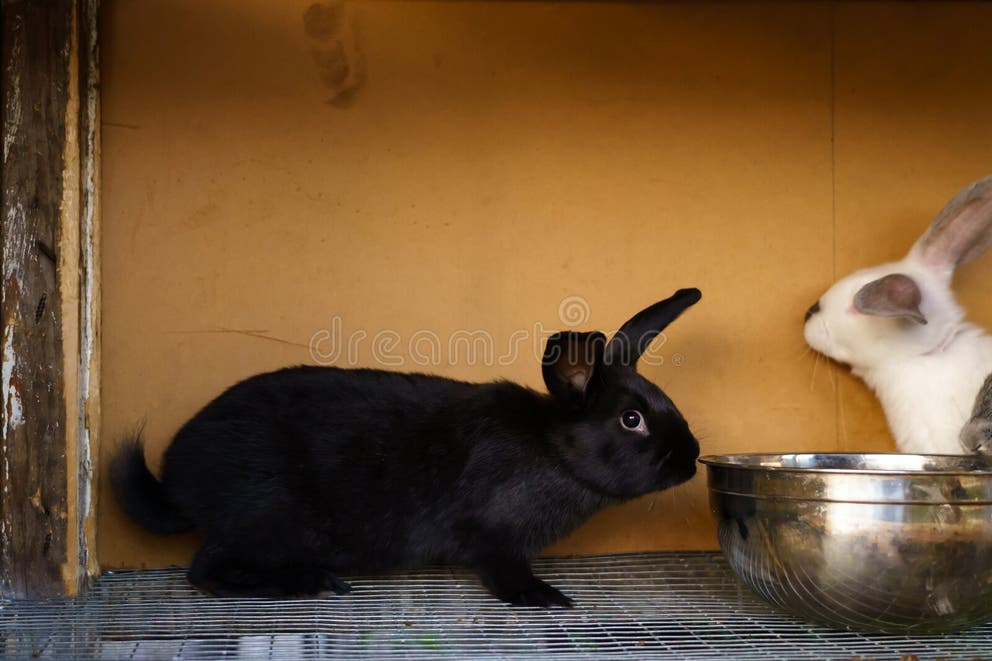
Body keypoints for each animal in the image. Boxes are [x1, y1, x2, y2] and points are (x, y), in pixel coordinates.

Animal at [110, 288, 702, 607]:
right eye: (631, 420)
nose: (692, 457)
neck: (553, 451)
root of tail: (176, 481)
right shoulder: (496, 537)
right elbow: (505, 574)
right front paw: (544, 597)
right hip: (267, 516)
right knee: (206, 571)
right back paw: (312, 582)